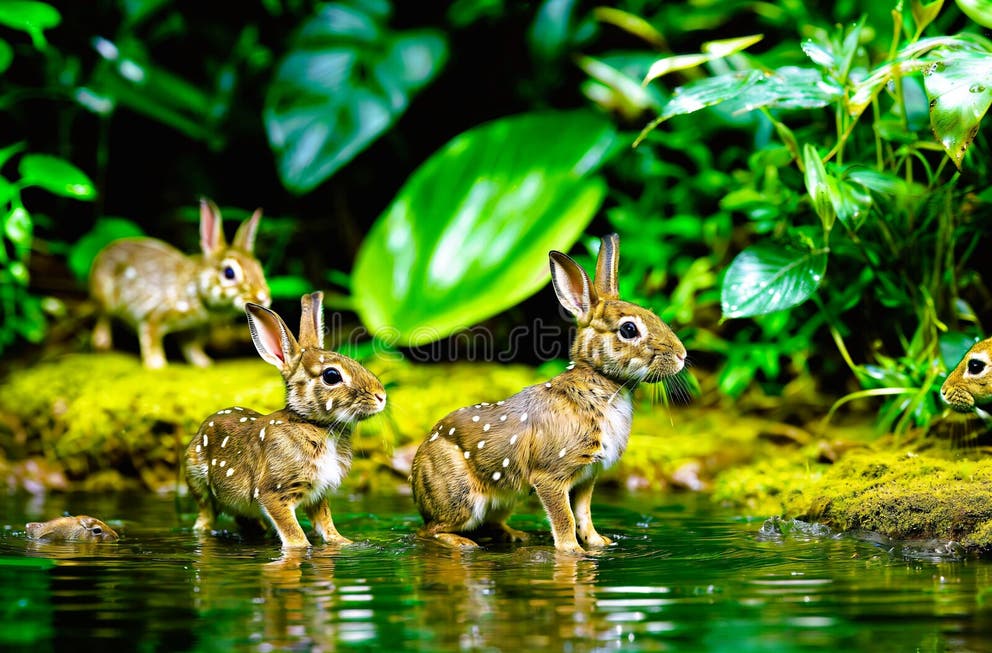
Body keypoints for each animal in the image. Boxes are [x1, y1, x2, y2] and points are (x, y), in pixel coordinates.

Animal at [89, 198, 271, 369]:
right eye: (229, 273)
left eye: (258, 267)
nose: (263, 297)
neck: (197, 289)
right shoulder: (154, 315)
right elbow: (151, 340)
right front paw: (157, 365)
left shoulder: (195, 328)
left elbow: (191, 347)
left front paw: (203, 362)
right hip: (105, 295)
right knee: (104, 316)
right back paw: (101, 341)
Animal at [185, 291, 387, 548]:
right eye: (331, 375)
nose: (381, 396)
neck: (313, 424)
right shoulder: (274, 491)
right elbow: (294, 536)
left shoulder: (318, 494)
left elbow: (327, 526)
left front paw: (344, 543)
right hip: (200, 486)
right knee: (204, 519)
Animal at [410, 234, 687, 554]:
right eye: (629, 329)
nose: (682, 355)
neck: (596, 385)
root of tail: (415, 477)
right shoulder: (551, 475)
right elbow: (564, 517)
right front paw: (573, 551)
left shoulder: (586, 477)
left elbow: (584, 514)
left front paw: (598, 543)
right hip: (461, 496)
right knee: (429, 531)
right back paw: (463, 543)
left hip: (505, 500)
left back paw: (515, 535)